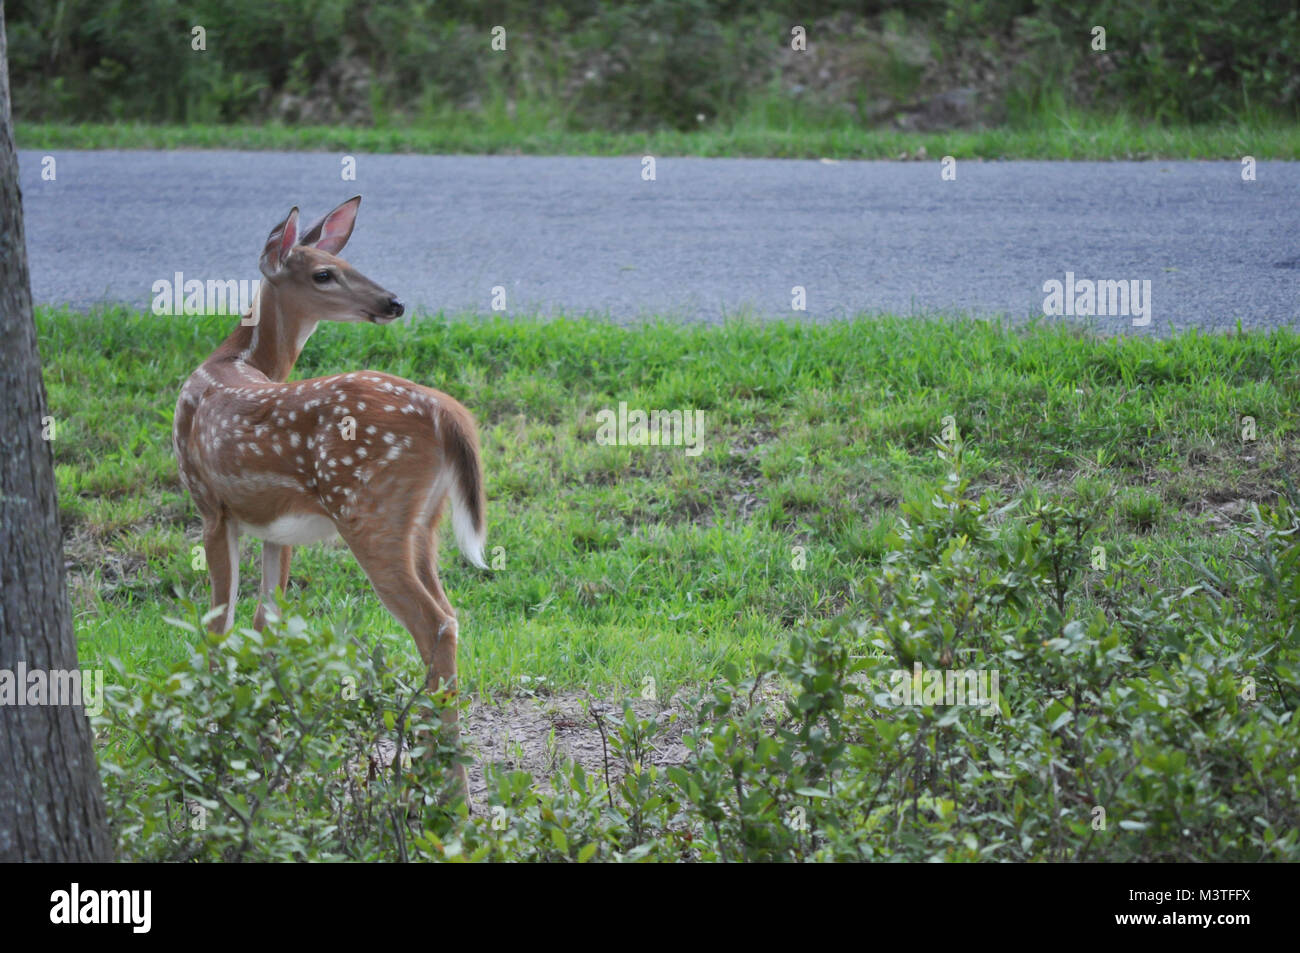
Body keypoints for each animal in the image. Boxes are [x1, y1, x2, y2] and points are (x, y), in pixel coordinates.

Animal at [172, 196, 486, 788]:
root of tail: (445, 412)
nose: (394, 302)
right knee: (449, 611)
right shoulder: (276, 525)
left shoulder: (211, 505)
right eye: (325, 272)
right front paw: (265, 746)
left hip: (368, 512)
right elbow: (265, 622)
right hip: (423, 522)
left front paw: (218, 747)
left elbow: (219, 623)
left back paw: (447, 787)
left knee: (434, 622)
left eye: (344, 264)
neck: (233, 361)